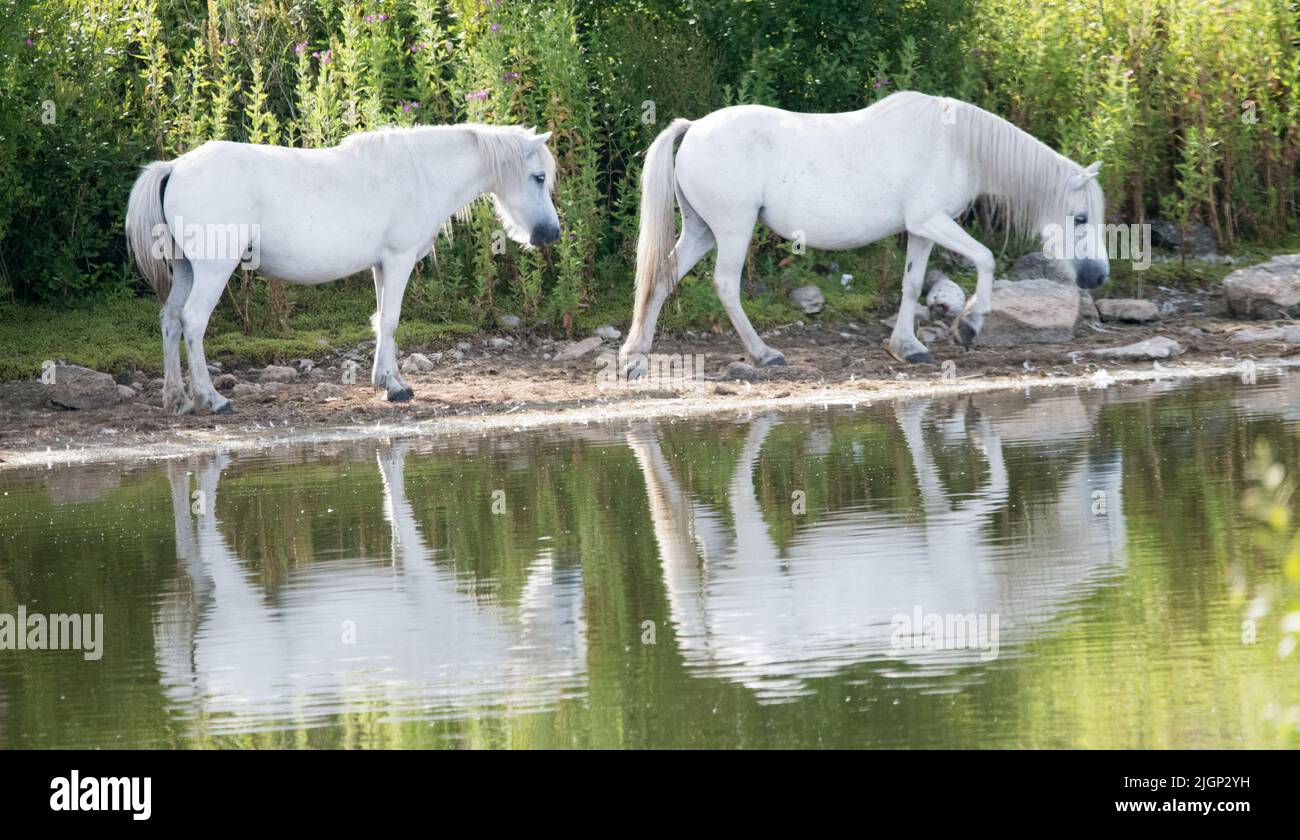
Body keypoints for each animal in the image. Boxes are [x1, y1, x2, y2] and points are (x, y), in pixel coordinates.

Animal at [125, 124, 560, 414]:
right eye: (538, 177)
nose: (551, 233)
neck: (420, 172)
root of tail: (174, 168)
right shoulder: (399, 260)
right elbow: (391, 320)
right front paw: (395, 388)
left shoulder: (381, 265)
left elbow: (381, 320)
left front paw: (385, 380)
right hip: (212, 272)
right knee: (193, 321)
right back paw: (211, 398)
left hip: (186, 270)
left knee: (170, 320)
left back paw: (177, 399)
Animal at [619, 91, 1109, 372]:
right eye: (1081, 218)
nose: (1099, 276)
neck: (956, 144)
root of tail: (694, 128)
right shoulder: (932, 220)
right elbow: (985, 259)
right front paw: (969, 325)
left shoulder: (922, 230)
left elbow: (912, 284)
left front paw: (907, 347)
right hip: (733, 230)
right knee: (725, 285)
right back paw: (764, 354)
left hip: (701, 231)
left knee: (661, 278)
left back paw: (635, 353)